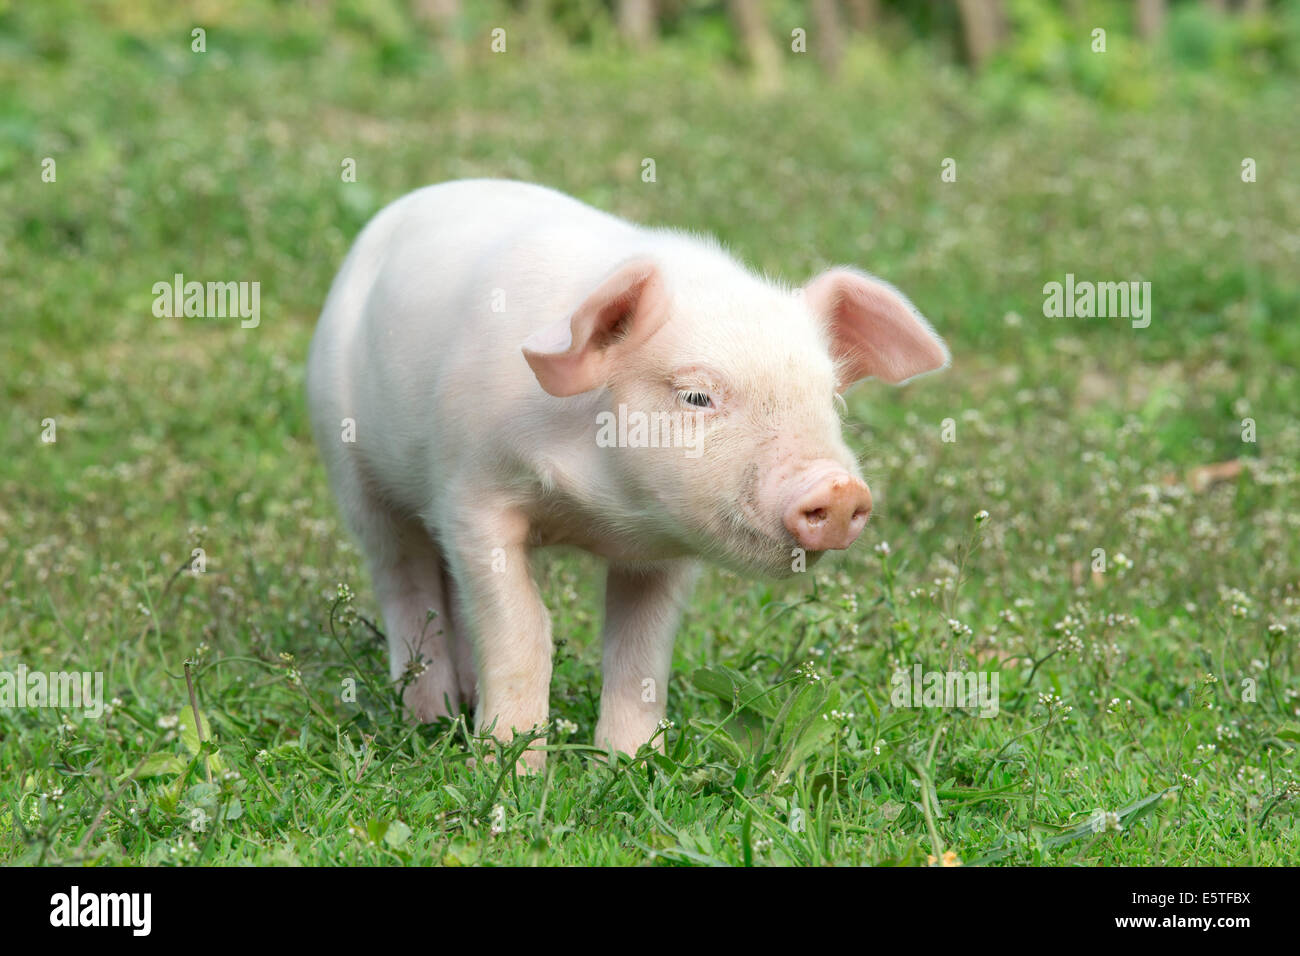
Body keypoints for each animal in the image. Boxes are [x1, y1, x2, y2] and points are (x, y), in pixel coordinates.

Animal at [306, 179, 949, 770]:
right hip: (351, 469)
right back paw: (429, 716)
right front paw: (510, 772)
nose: (838, 489)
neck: (600, 512)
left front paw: (632, 765)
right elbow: (523, 631)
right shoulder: (471, 495)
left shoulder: (666, 551)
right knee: (403, 577)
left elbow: (641, 651)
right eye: (696, 395)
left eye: (830, 399)